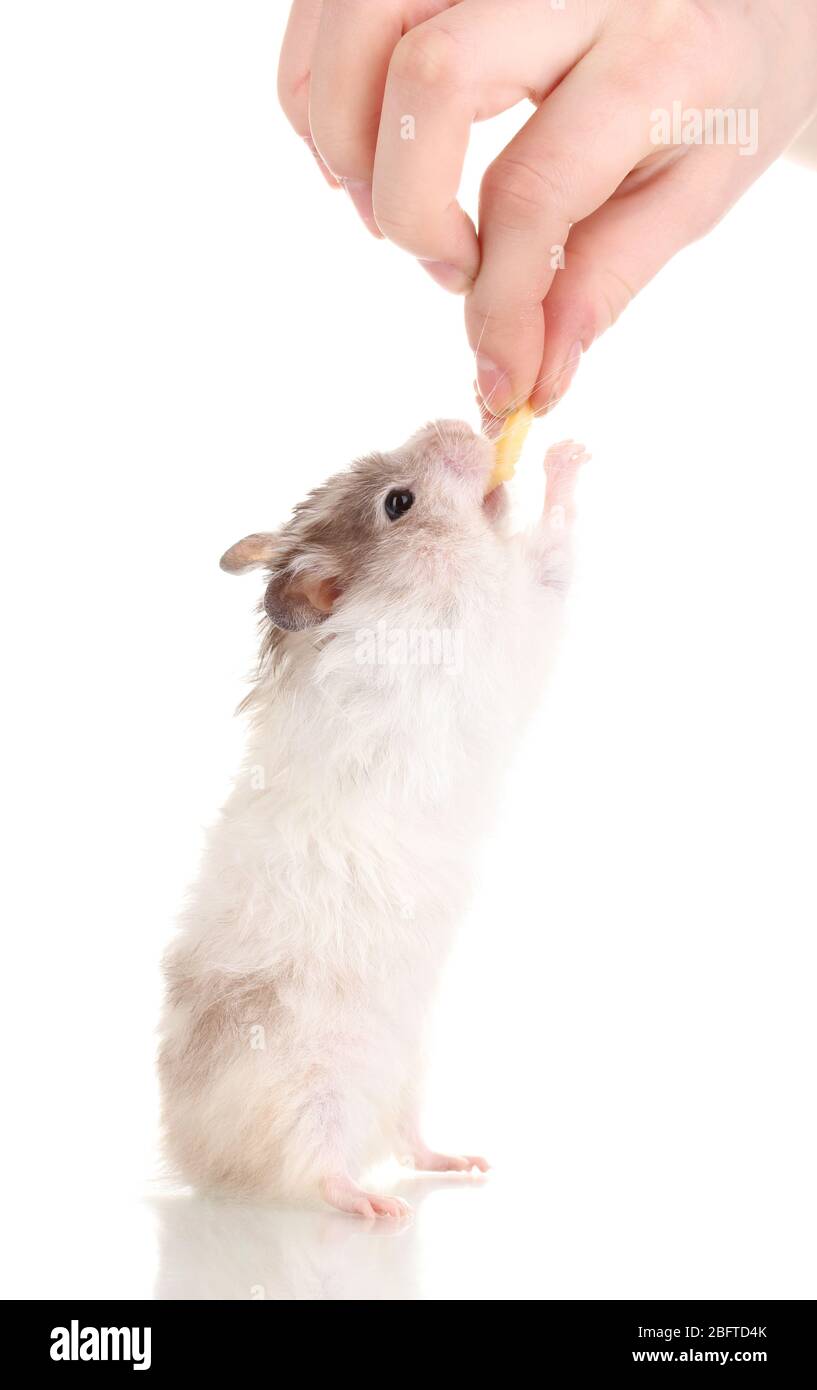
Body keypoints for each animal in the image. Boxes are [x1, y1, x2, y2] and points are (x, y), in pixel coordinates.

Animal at [159, 420, 587, 1219]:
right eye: (398, 502)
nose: (456, 424)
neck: (406, 592)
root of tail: (203, 1164)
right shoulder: (512, 615)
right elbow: (553, 546)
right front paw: (564, 454)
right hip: (311, 1091)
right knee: (317, 1167)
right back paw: (375, 1207)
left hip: (408, 1068)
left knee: (407, 1140)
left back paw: (463, 1163)